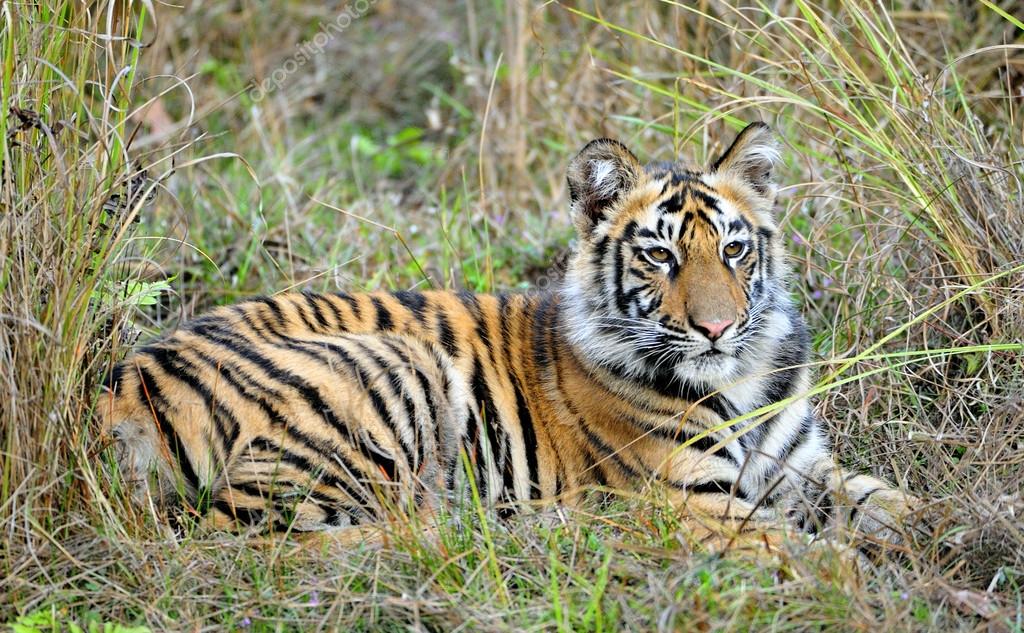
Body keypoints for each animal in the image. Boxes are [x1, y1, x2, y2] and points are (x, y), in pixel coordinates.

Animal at [97, 122, 922, 548]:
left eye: (734, 249)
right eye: (660, 256)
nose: (716, 327)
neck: (740, 375)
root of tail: (126, 376)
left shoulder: (801, 467)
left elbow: (894, 505)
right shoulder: (696, 499)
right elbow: (811, 553)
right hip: (393, 372)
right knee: (264, 540)